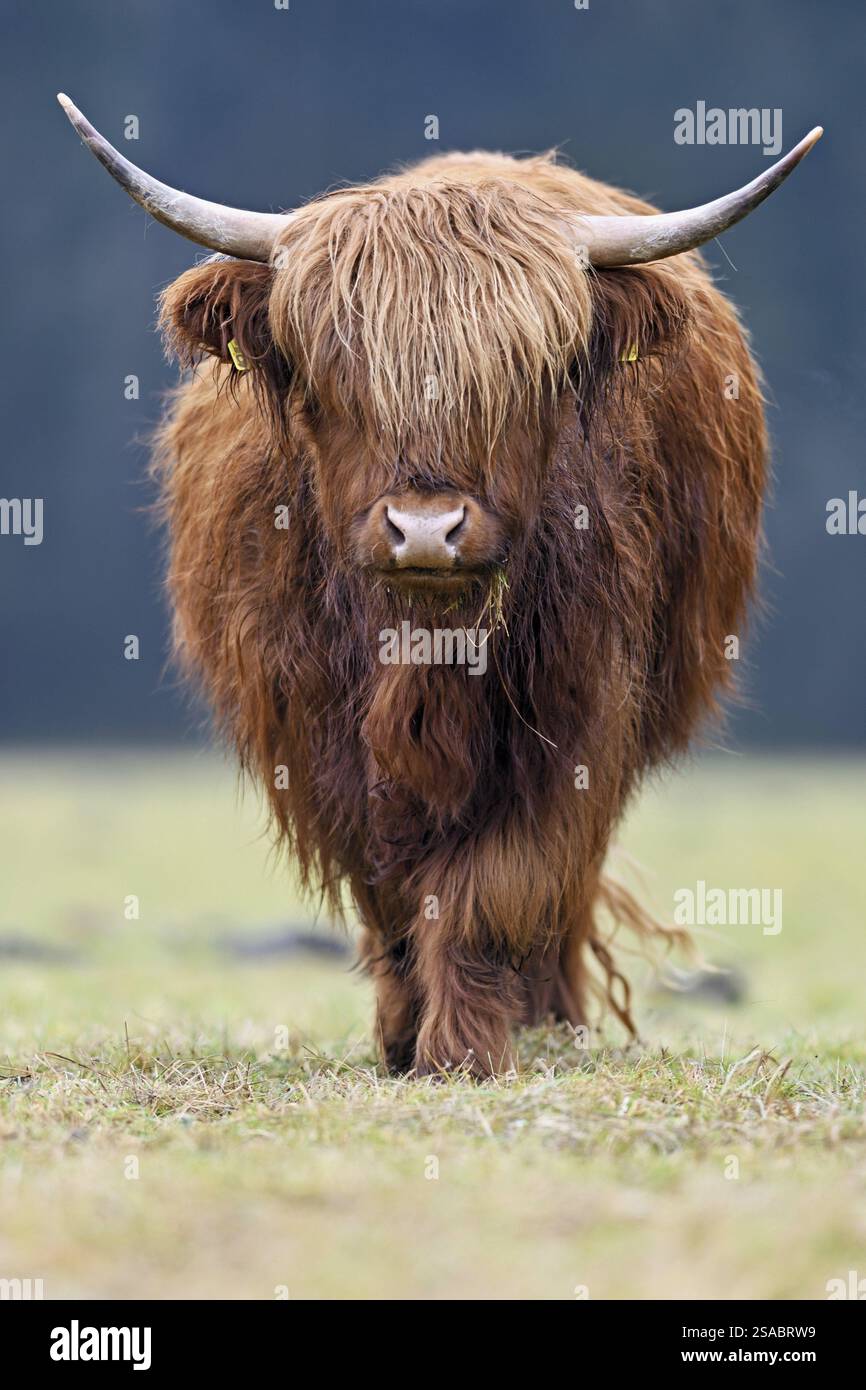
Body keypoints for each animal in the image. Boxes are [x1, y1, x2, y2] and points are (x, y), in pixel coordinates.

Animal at [59, 95, 821, 1076]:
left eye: (525, 378)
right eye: (334, 377)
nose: (426, 529)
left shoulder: (579, 716)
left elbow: (498, 887)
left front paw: (464, 1047)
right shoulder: (314, 730)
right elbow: (388, 889)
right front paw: (401, 1036)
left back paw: (551, 1016)